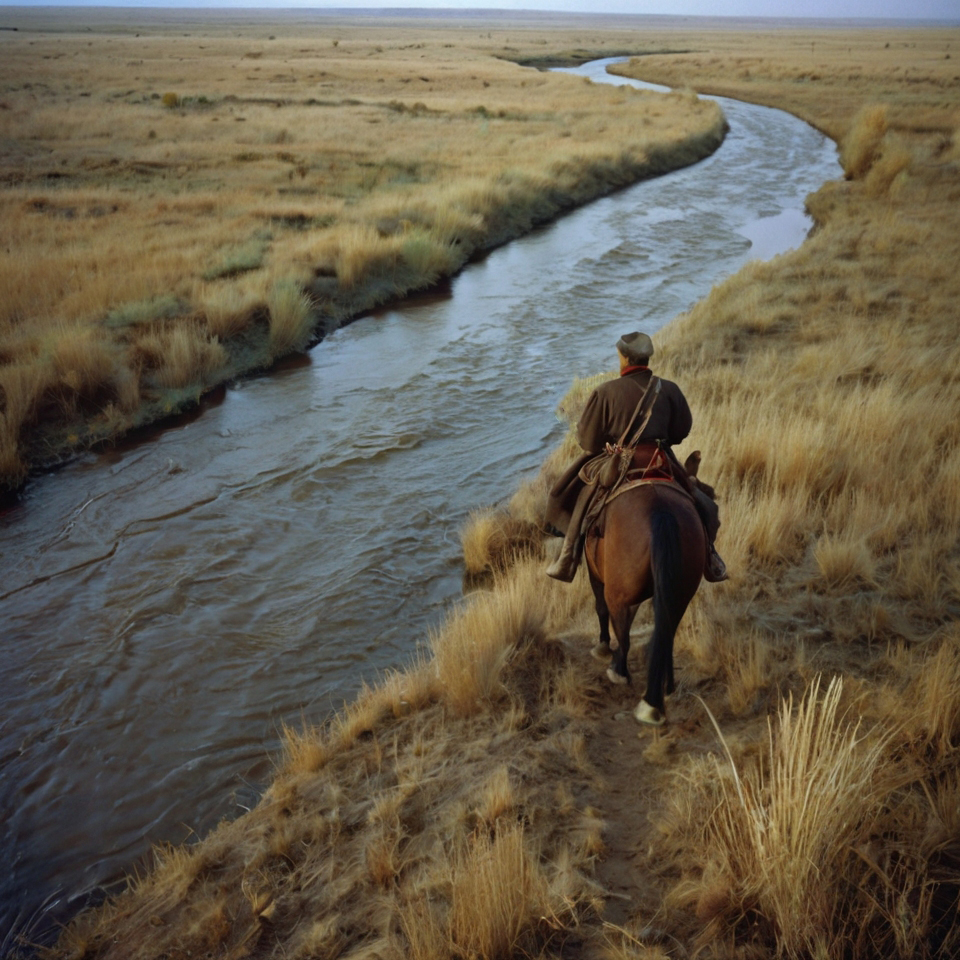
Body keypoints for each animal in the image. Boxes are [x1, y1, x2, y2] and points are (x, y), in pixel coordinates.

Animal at [580, 484, 708, 724]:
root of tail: (662, 513)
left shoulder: (596, 575)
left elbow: (601, 610)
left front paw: (603, 647)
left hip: (617, 594)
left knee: (623, 633)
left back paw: (621, 674)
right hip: (680, 595)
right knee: (665, 634)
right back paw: (661, 693)